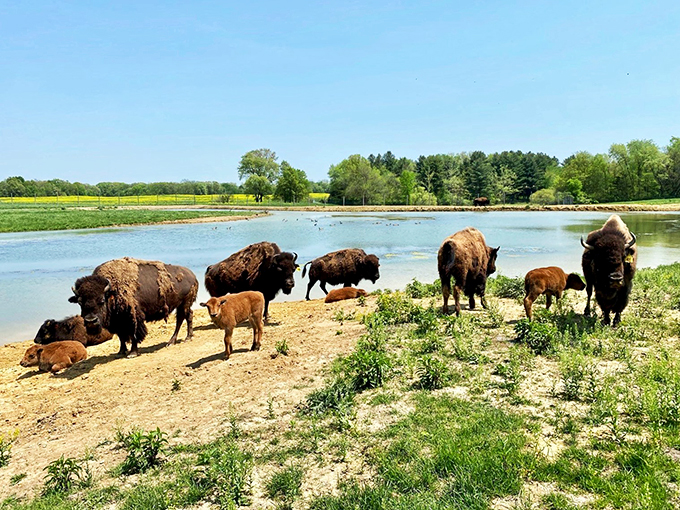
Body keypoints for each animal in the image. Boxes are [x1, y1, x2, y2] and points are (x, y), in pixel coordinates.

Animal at [69, 258, 198, 357]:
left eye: (101, 300)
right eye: (80, 302)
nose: (91, 321)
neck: (111, 292)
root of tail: (192, 275)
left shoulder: (132, 317)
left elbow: (133, 334)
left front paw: (132, 353)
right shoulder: (117, 322)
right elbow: (121, 336)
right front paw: (121, 352)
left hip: (184, 303)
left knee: (183, 318)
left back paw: (179, 340)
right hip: (182, 305)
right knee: (185, 317)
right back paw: (181, 339)